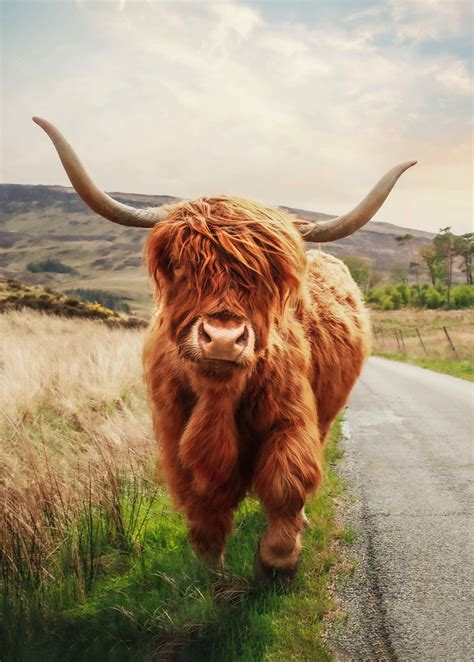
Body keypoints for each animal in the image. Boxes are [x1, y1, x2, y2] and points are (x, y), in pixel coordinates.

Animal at [33, 117, 416, 582]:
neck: (218, 400)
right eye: (180, 265)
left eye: (270, 275)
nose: (222, 338)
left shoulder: (292, 416)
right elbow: (203, 505)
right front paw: (210, 571)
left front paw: (276, 560)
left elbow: (288, 482)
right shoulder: (175, 434)